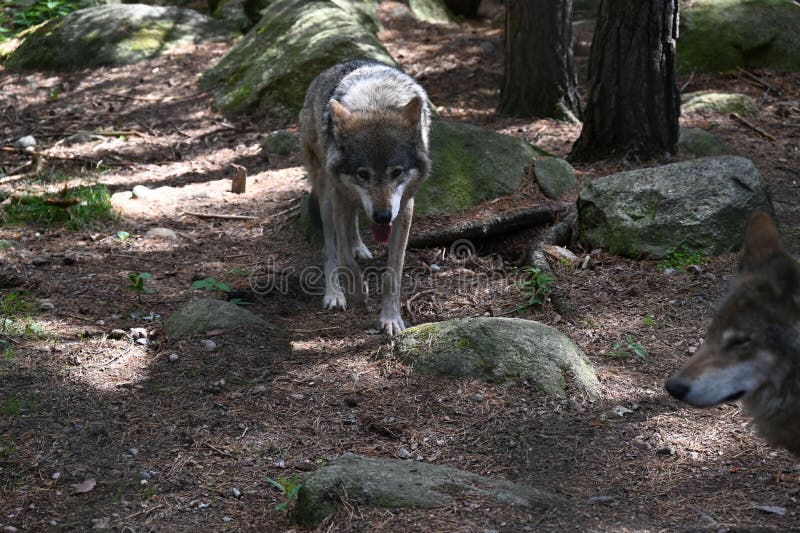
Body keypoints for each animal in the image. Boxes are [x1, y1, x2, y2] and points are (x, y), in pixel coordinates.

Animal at [299, 59, 431, 335]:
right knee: (330, 248)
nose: (382, 216)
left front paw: (390, 318)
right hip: (327, 194)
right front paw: (358, 294)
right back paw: (334, 293)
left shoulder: (404, 207)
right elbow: (345, 259)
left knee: (354, 224)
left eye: (396, 172)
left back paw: (360, 246)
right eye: (363, 173)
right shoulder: (340, 197)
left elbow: (394, 272)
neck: (376, 103)